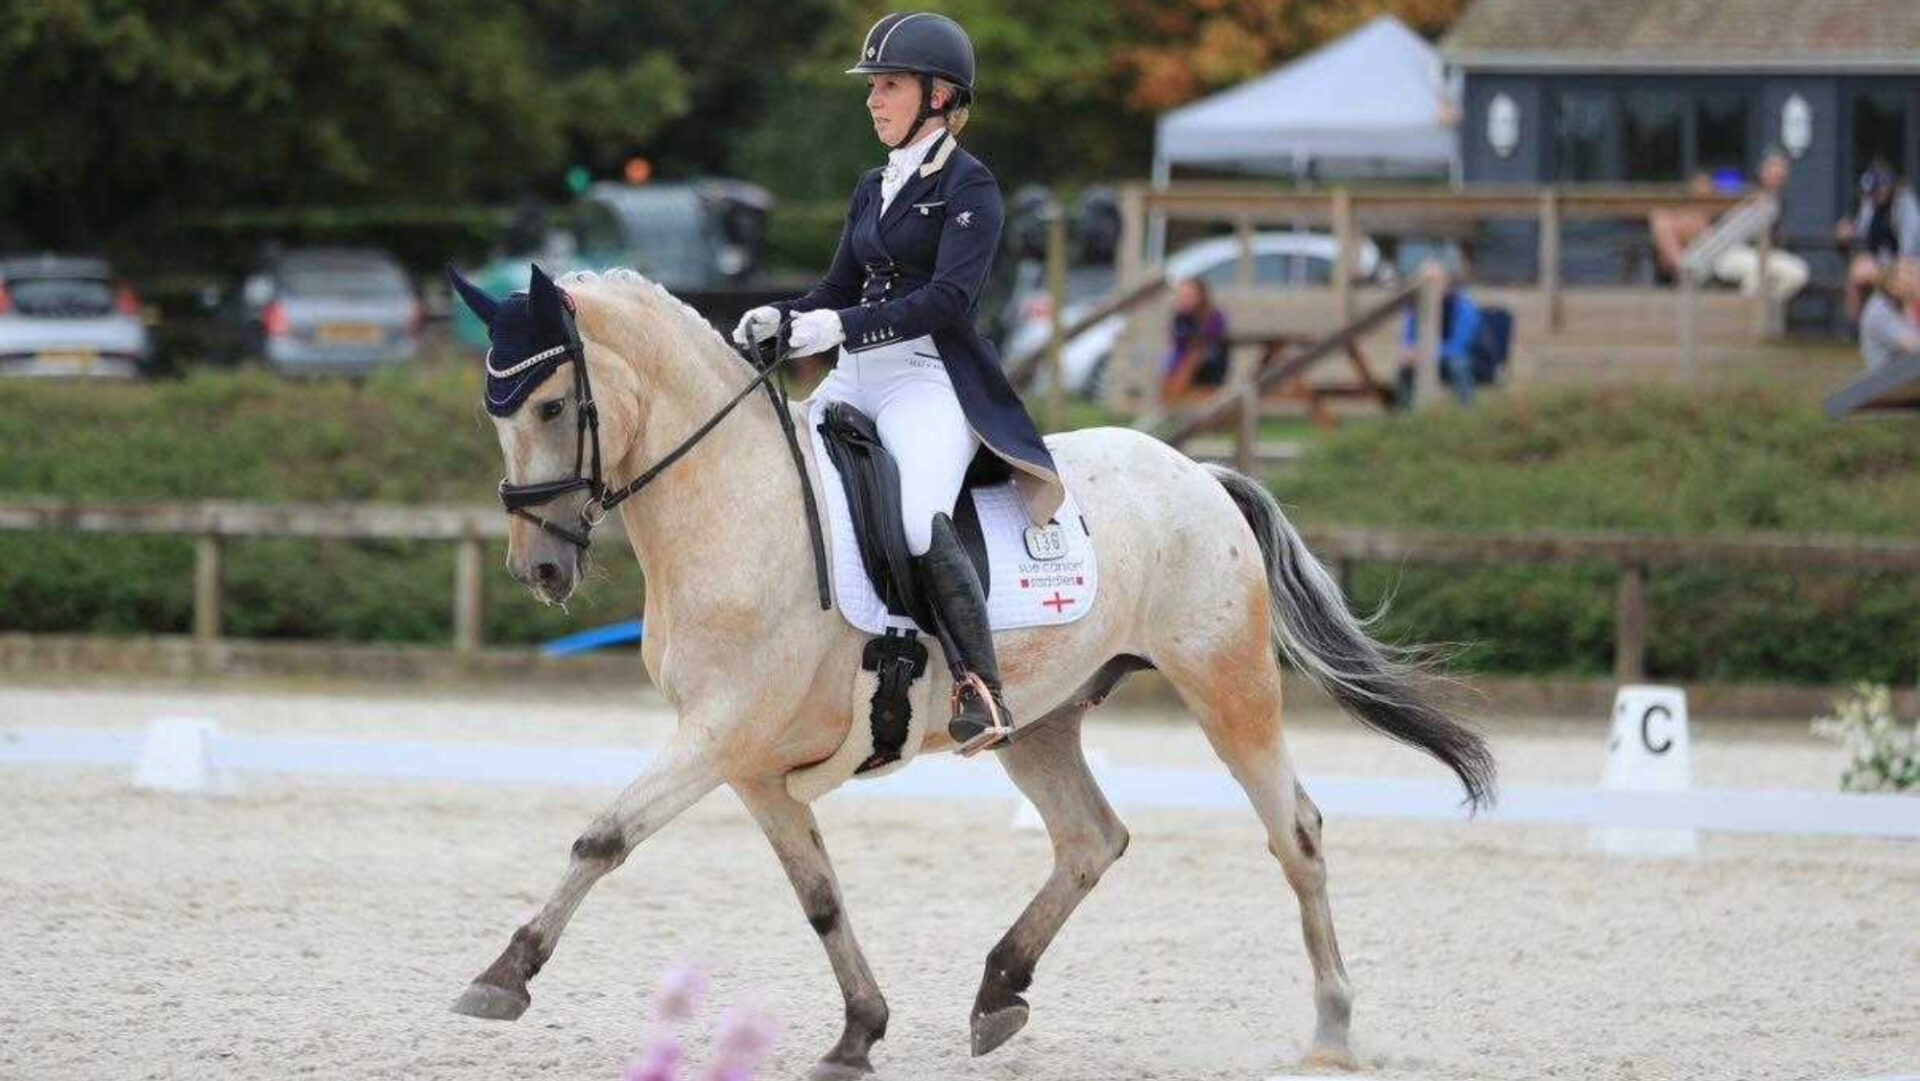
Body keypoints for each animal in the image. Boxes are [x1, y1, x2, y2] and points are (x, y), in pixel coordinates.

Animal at [446, 267, 1495, 1078]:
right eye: (495, 415)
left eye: (551, 405)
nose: (540, 570)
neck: (736, 506)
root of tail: (1199, 473)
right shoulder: (751, 764)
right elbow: (820, 896)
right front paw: (859, 1031)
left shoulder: (718, 732)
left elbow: (604, 837)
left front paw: (502, 976)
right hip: (1038, 718)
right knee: (1090, 838)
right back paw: (998, 993)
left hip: (1226, 684)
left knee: (1296, 832)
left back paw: (1332, 1027)